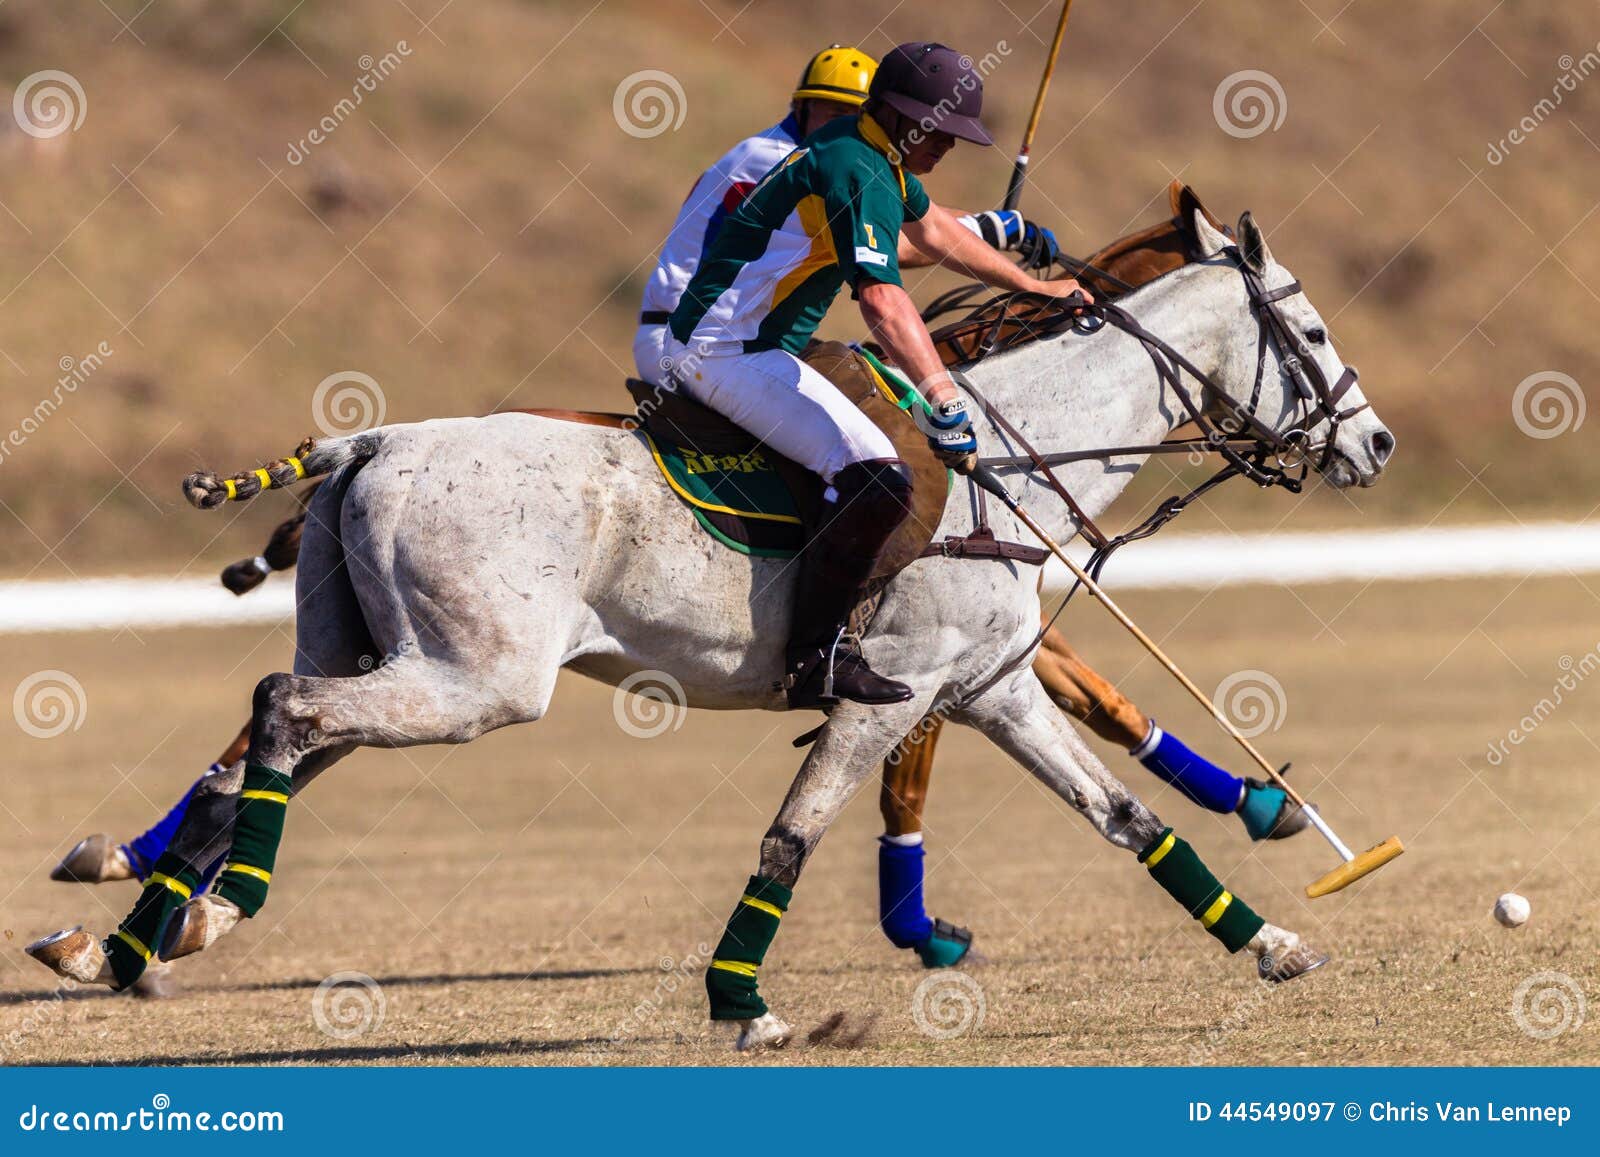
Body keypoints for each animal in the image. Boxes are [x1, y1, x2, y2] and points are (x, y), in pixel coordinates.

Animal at [31, 205, 1392, 1051]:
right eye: (1313, 329)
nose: (1374, 444)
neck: (1006, 448)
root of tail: (370, 440)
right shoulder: (892, 692)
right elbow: (792, 835)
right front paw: (744, 1002)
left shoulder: (991, 687)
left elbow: (1127, 819)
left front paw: (1272, 941)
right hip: (477, 679)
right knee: (281, 710)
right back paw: (209, 912)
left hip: (377, 646)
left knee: (246, 752)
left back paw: (137, 937)